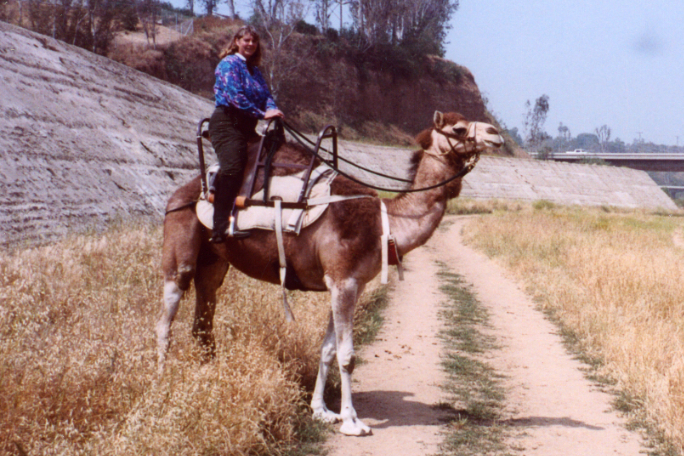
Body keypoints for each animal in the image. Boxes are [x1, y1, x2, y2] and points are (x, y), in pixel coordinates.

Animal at [157, 111, 504, 436]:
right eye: (459, 129)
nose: (496, 134)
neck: (384, 223)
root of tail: (182, 192)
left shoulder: (351, 284)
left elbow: (327, 350)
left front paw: (322, 411)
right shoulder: (343, 280)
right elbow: (347, 355)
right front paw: (352, 421)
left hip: (214, 262)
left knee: (204, 316)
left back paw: (207, 377)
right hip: (180, 242)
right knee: (167, 316)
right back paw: (164, 382)